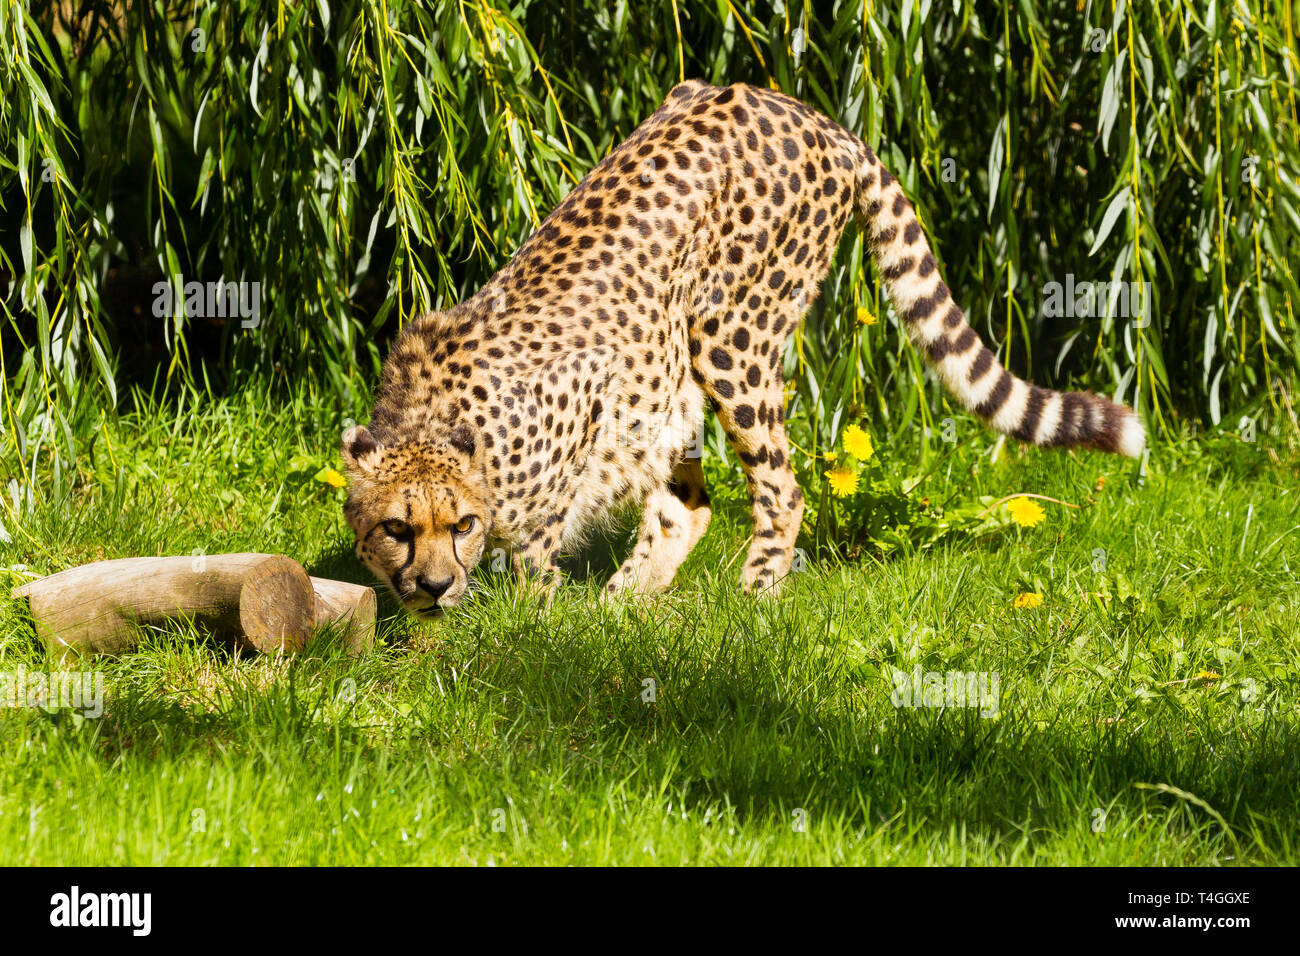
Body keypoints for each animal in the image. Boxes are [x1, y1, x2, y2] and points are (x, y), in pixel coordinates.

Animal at [341, 80, 1145, 616]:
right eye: (396, 528)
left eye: (462, 525)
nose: (434, 584)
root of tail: (810, 113)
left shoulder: (583, 413)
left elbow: (535, 560)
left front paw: (529, 629)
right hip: (677, 374)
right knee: (687, 507)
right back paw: (622, 603)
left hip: (733, 338)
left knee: (781, 489)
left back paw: (755, 590)